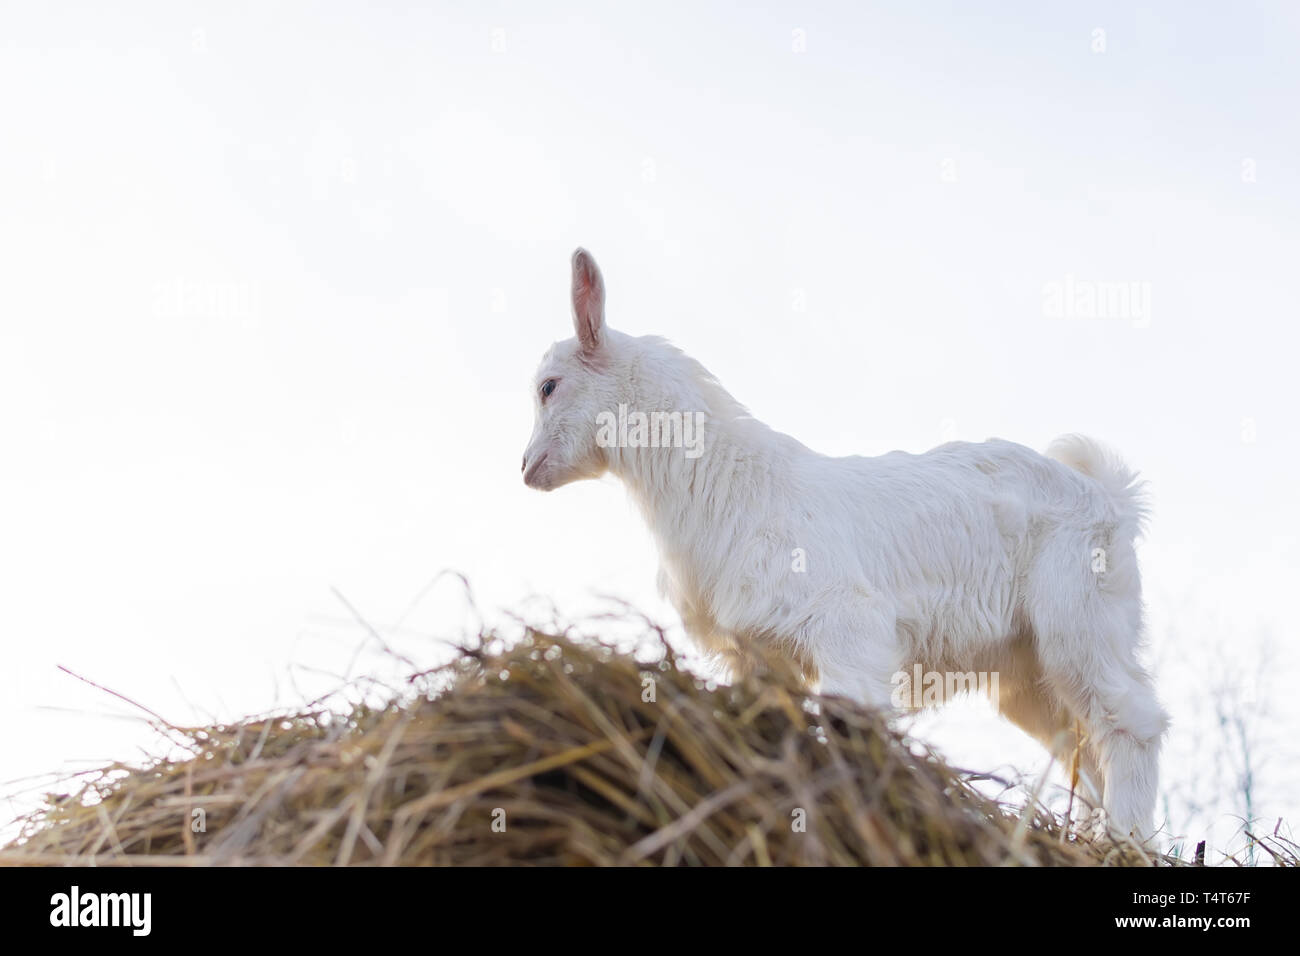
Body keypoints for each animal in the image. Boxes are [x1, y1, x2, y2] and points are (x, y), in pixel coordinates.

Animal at [522, 247, 1169, 840]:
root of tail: (1112, 497)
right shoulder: (755, 652)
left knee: (1130, 723)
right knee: (1080, 741)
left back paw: (1126, 840)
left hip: (1081, 616)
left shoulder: (847, 625)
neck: (735, 487)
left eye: (548, 386)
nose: (526, 468)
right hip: (1026, 669)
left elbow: (852, 719)